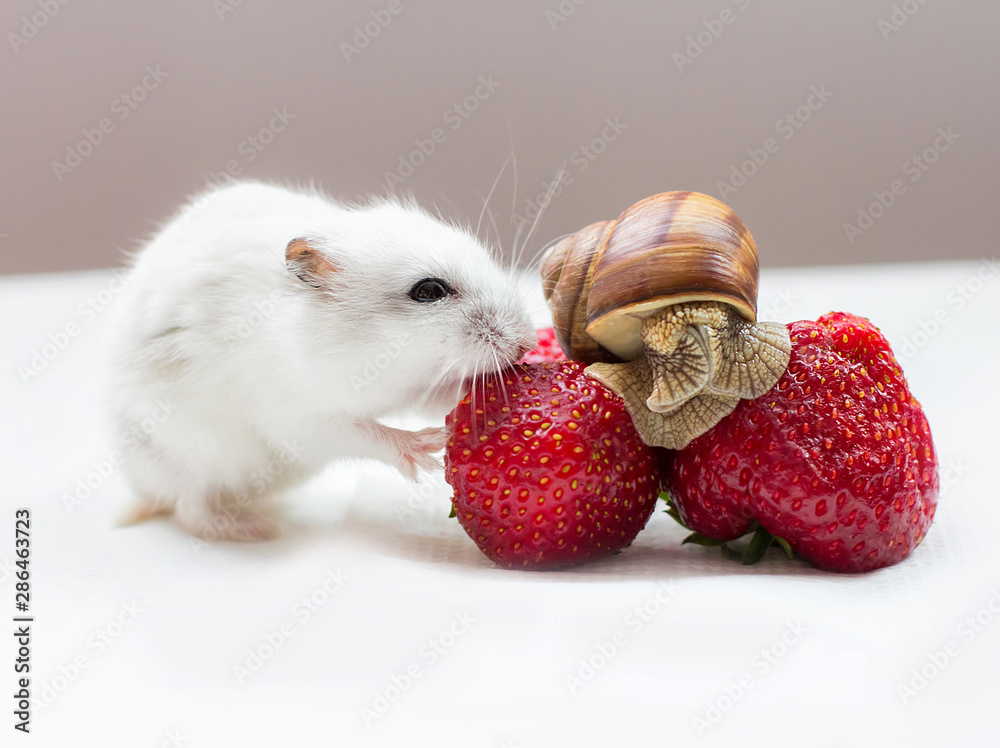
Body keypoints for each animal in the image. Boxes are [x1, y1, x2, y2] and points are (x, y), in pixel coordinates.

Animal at [107, 180, 536, 541]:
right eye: (429, 290)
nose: (527, 343)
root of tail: (145, 486)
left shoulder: (417, 384)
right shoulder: (298, 419)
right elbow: (365, 434)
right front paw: (429, 444)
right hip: (196, 458)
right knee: (192, 509)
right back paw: (257, 530)